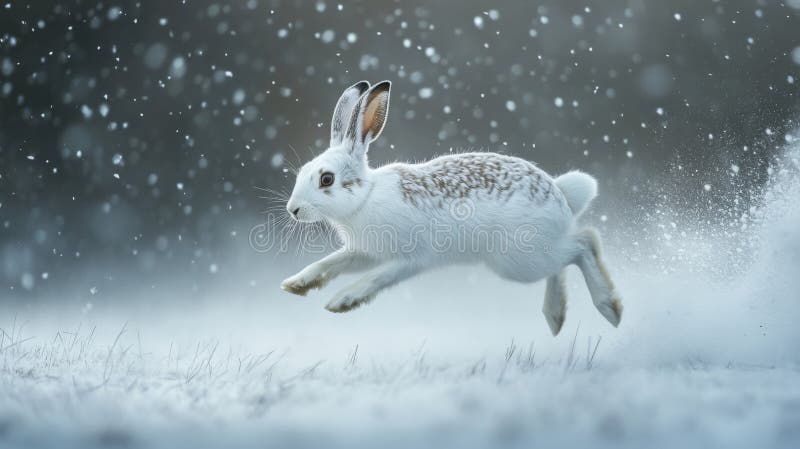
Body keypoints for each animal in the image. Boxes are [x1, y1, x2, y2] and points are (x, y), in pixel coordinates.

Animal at [280, 80, 622, 335]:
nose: (293, 210)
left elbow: (375, 278)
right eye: (302, 172)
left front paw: (343, 300)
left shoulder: (411, 258)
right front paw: (296, 284)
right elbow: (331, 262)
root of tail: (562, 197)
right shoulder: (364, 252)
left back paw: (609, 308)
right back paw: (556, 315)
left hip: (519, 259)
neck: (364, 198)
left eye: (326, 179)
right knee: (565, 259)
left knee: (583, 243)